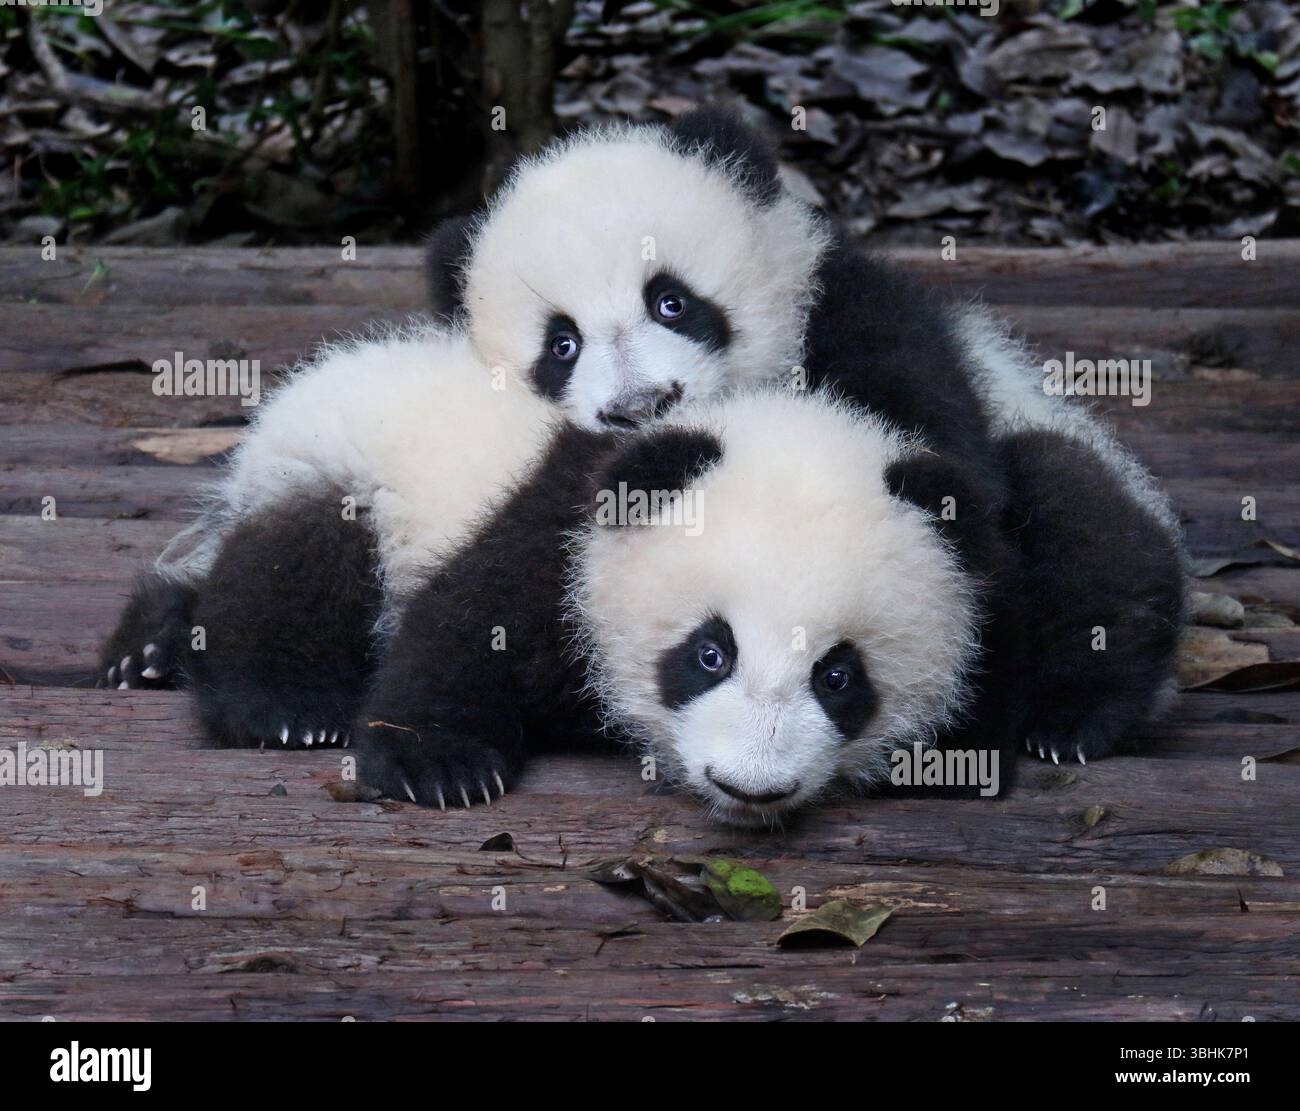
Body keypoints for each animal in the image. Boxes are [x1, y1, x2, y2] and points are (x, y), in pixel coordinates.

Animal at [354, 386, 1022, 823]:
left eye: (837, 676)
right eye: (710, 654)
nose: (750, 787)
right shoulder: (565, 539)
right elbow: (469, 623)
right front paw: (440, 764)